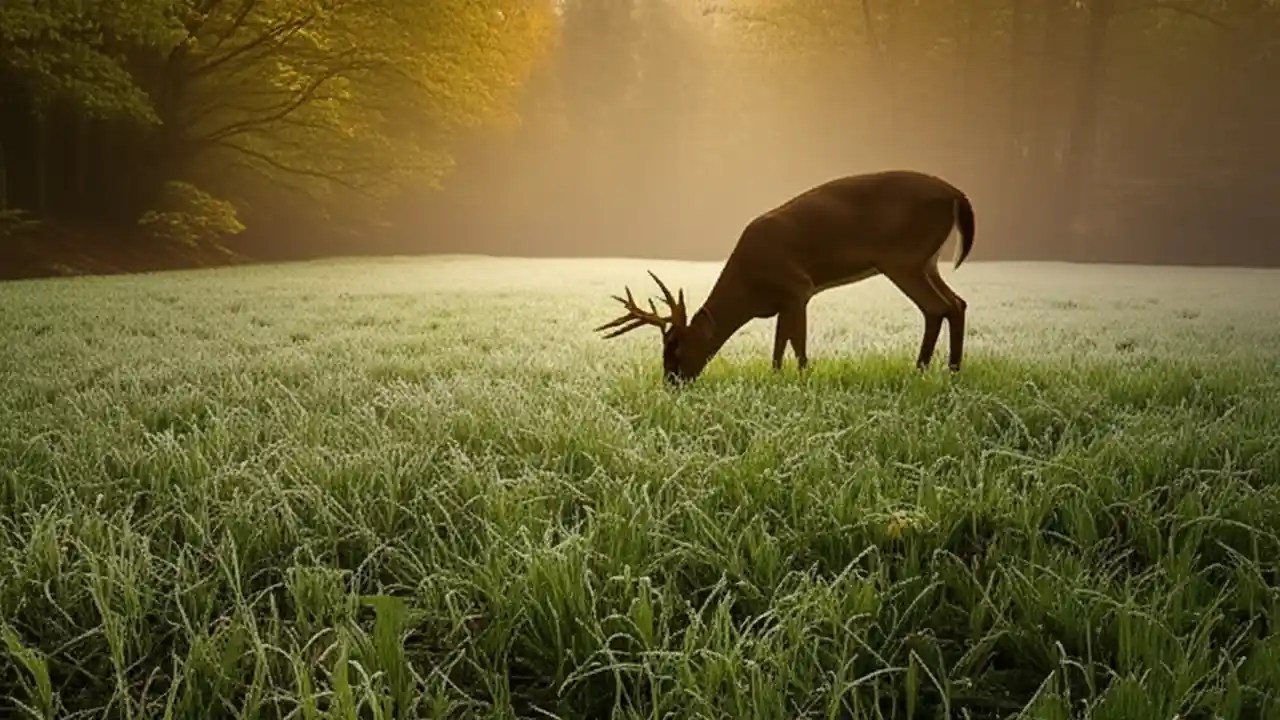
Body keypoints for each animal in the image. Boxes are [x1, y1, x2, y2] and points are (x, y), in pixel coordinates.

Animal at [594, 170, 976, 385]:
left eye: (676, 347)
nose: (671, 383)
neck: (749, 288)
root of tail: (957, 194)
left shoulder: (798, 287)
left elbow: (798, 344)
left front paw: (804, 380)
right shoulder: (781, 302)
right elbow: (779, 345)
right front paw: (776, 379)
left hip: (903, 258)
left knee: (940, 307)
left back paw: (936, 371)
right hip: (926, 261)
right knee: (955, 303)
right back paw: (940, 370)